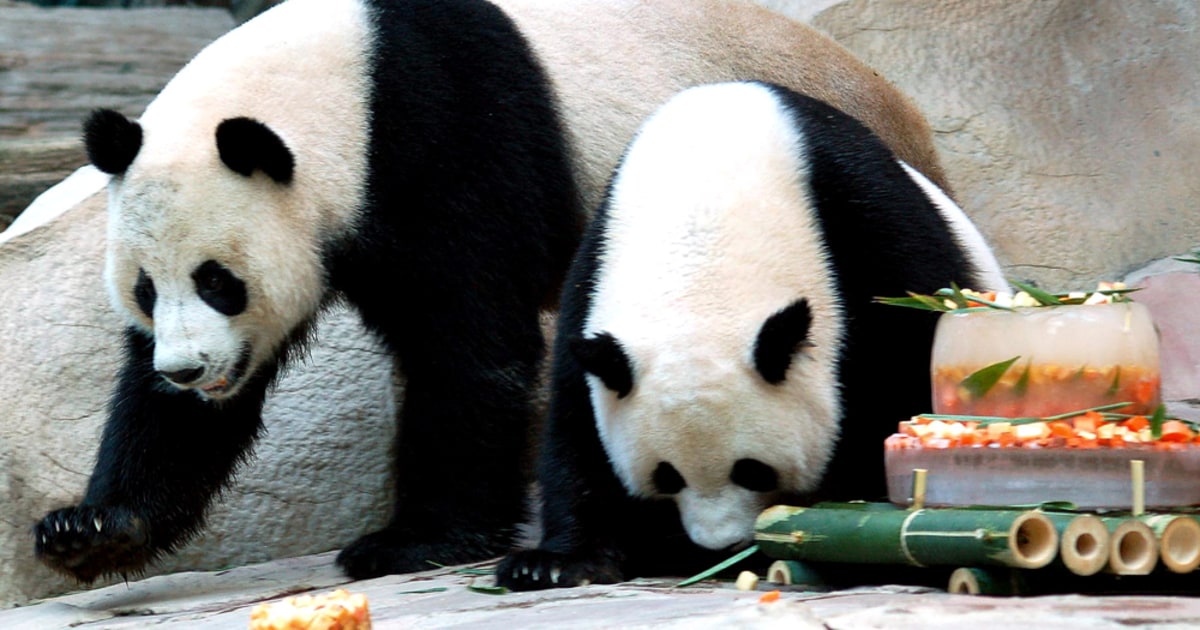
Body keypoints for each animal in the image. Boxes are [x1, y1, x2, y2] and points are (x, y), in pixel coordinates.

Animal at [34, 0, 954, 583]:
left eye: (219, 282)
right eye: (146, 290)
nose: (189, 371)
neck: (344, 82)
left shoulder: (446, 133)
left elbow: (471, 348)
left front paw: (412, 543)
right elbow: (170, 422)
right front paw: (90, 529)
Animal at [497, 81, 1007, 590]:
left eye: (752, 471)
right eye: (667, 477)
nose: (719, 545)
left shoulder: (869, 225)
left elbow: (902, 370)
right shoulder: (593, 273)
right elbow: (576, 423)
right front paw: (555, 562)